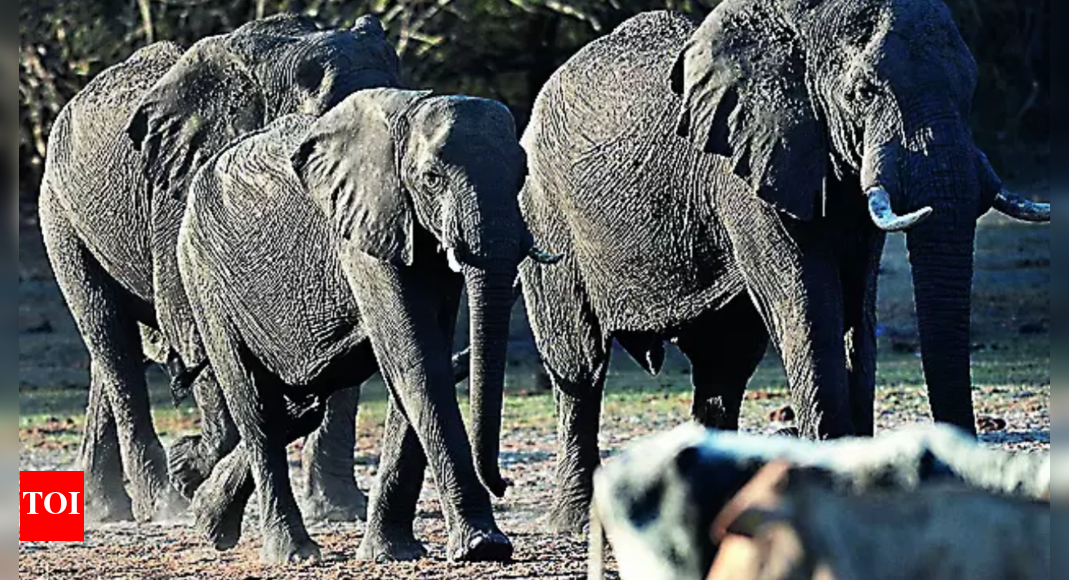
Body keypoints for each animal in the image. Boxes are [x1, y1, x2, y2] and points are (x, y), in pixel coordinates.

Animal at [37, 14, 401, 523]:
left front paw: (339, 512)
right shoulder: (183, 193)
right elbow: (195, 330)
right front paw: (189, 471)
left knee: (109, 351)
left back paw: (106, 509)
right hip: (59, 212)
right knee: (109, 334)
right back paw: (162, 504)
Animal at [175, 88, 553, 564]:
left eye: (522, 174)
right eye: (431, 179)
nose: (504, 484)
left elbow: (417, 361)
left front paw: (393, 553)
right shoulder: (363, 232)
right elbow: (417, 360)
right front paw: (483, 547)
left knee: (305, 402)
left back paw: (207, 518)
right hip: (205, 279)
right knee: (256, 406)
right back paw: (292, 553)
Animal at [517, 5, 1049, 533]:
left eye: (971, 88)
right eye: (863, 92)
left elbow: (855, 311)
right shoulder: (746, 169)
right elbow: (809, 306)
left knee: (723, 366)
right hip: (545, 215)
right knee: (579, 365)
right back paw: (576, 522)